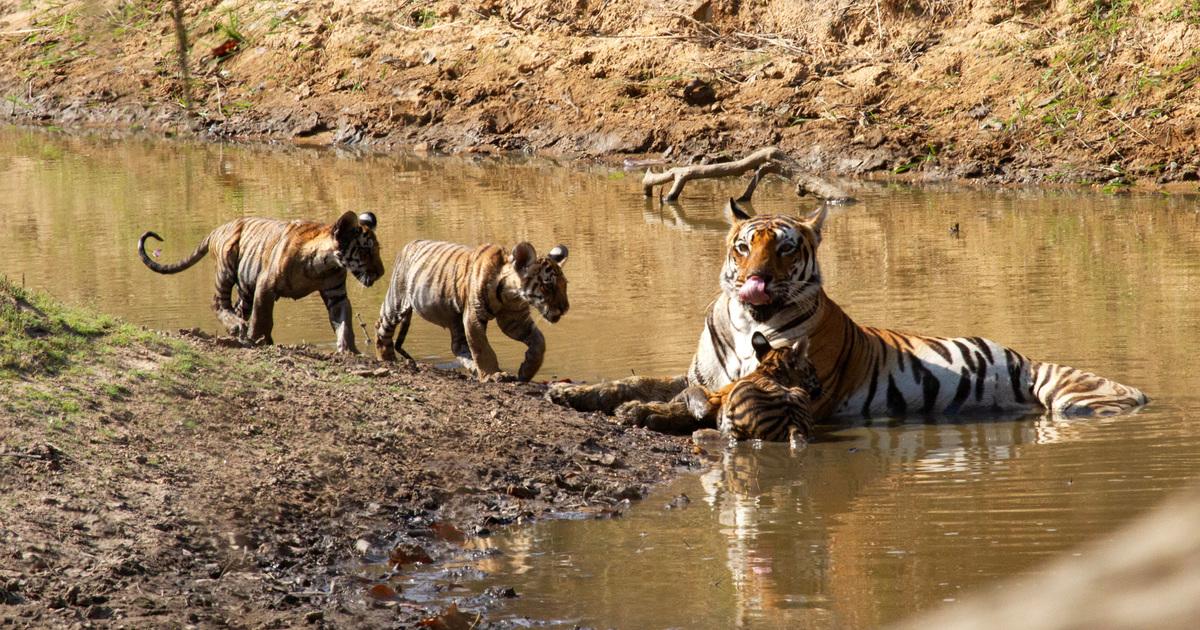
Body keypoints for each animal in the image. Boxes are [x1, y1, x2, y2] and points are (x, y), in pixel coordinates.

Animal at [137, 211, 385, 353]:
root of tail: (219, 228)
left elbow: (344, 322)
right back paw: (237, 327)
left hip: (245, 287)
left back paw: (236, 330)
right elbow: (263, 317)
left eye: (377, 249)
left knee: (237, 307)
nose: (381, 273)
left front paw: (349, 350)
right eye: (366, 250)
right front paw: (259, 340)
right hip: (227, 266)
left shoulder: (337, 293)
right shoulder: (266, 285)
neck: (324, 265)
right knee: (218, 302)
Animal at [374, 239, 569, 382]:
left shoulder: (514, 320)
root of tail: (409, 244)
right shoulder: (474, 316)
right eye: (548, 286)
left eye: (564, 284)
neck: (513, 295)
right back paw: (387, 358)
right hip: (396, 302)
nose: (566, 308)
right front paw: (493, 374)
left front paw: (526, 371)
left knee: (458, 346)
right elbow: (482, 348)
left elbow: (539, 341)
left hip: (454, 320)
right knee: (381, 327)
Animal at [549, 199, 1148, 424]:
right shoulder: (701, 372)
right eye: (743, 247)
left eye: (785, 249)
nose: (754, 280)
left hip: (1072, 401)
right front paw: (574, 393)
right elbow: (639, 380)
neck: (748, 323)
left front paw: (646, 413)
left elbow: (693, 401)